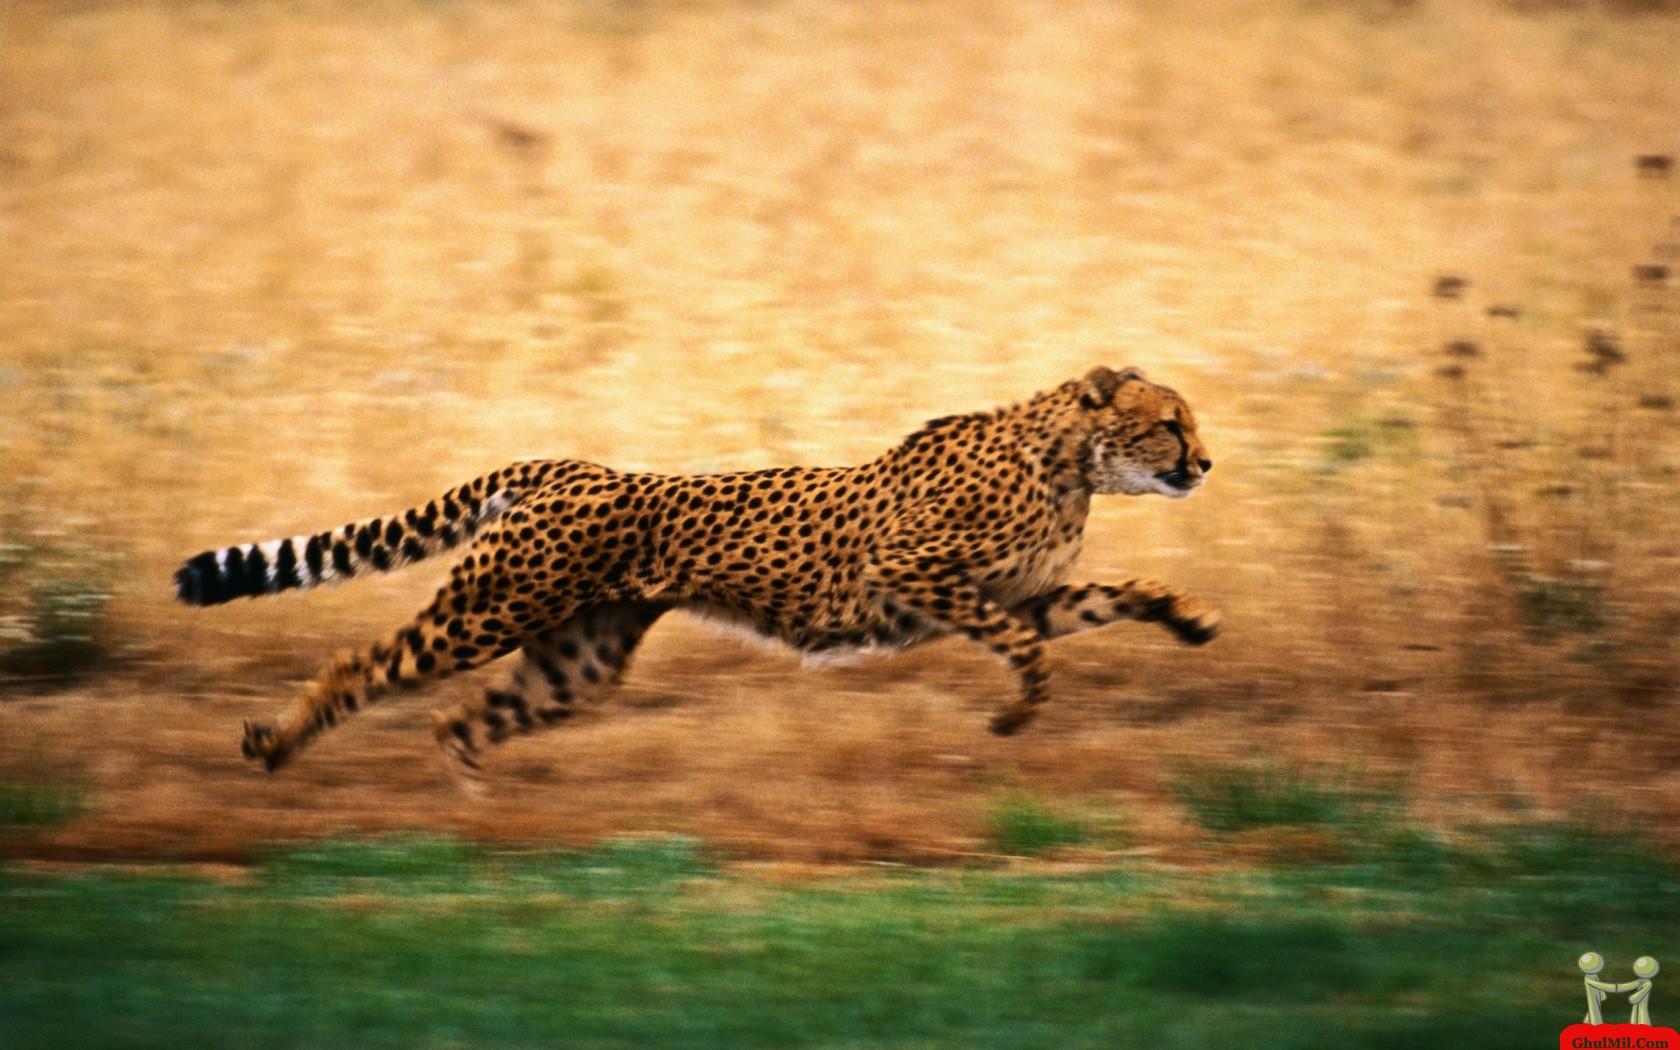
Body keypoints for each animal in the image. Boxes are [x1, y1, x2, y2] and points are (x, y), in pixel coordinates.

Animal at [175, 365, 1219, 789]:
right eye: (1170, 422)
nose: (1206, 463)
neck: (1070, 461)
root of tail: (569, 466)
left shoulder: (1026, 593)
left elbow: (1117, 595)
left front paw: (1192, 618)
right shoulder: (910, 572)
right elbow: (1023, 651)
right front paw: (1014, 714)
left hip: (578, 659)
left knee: (458, 719)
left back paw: (477, 812)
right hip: (488, 611)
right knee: (365, 665)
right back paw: (276, 746)